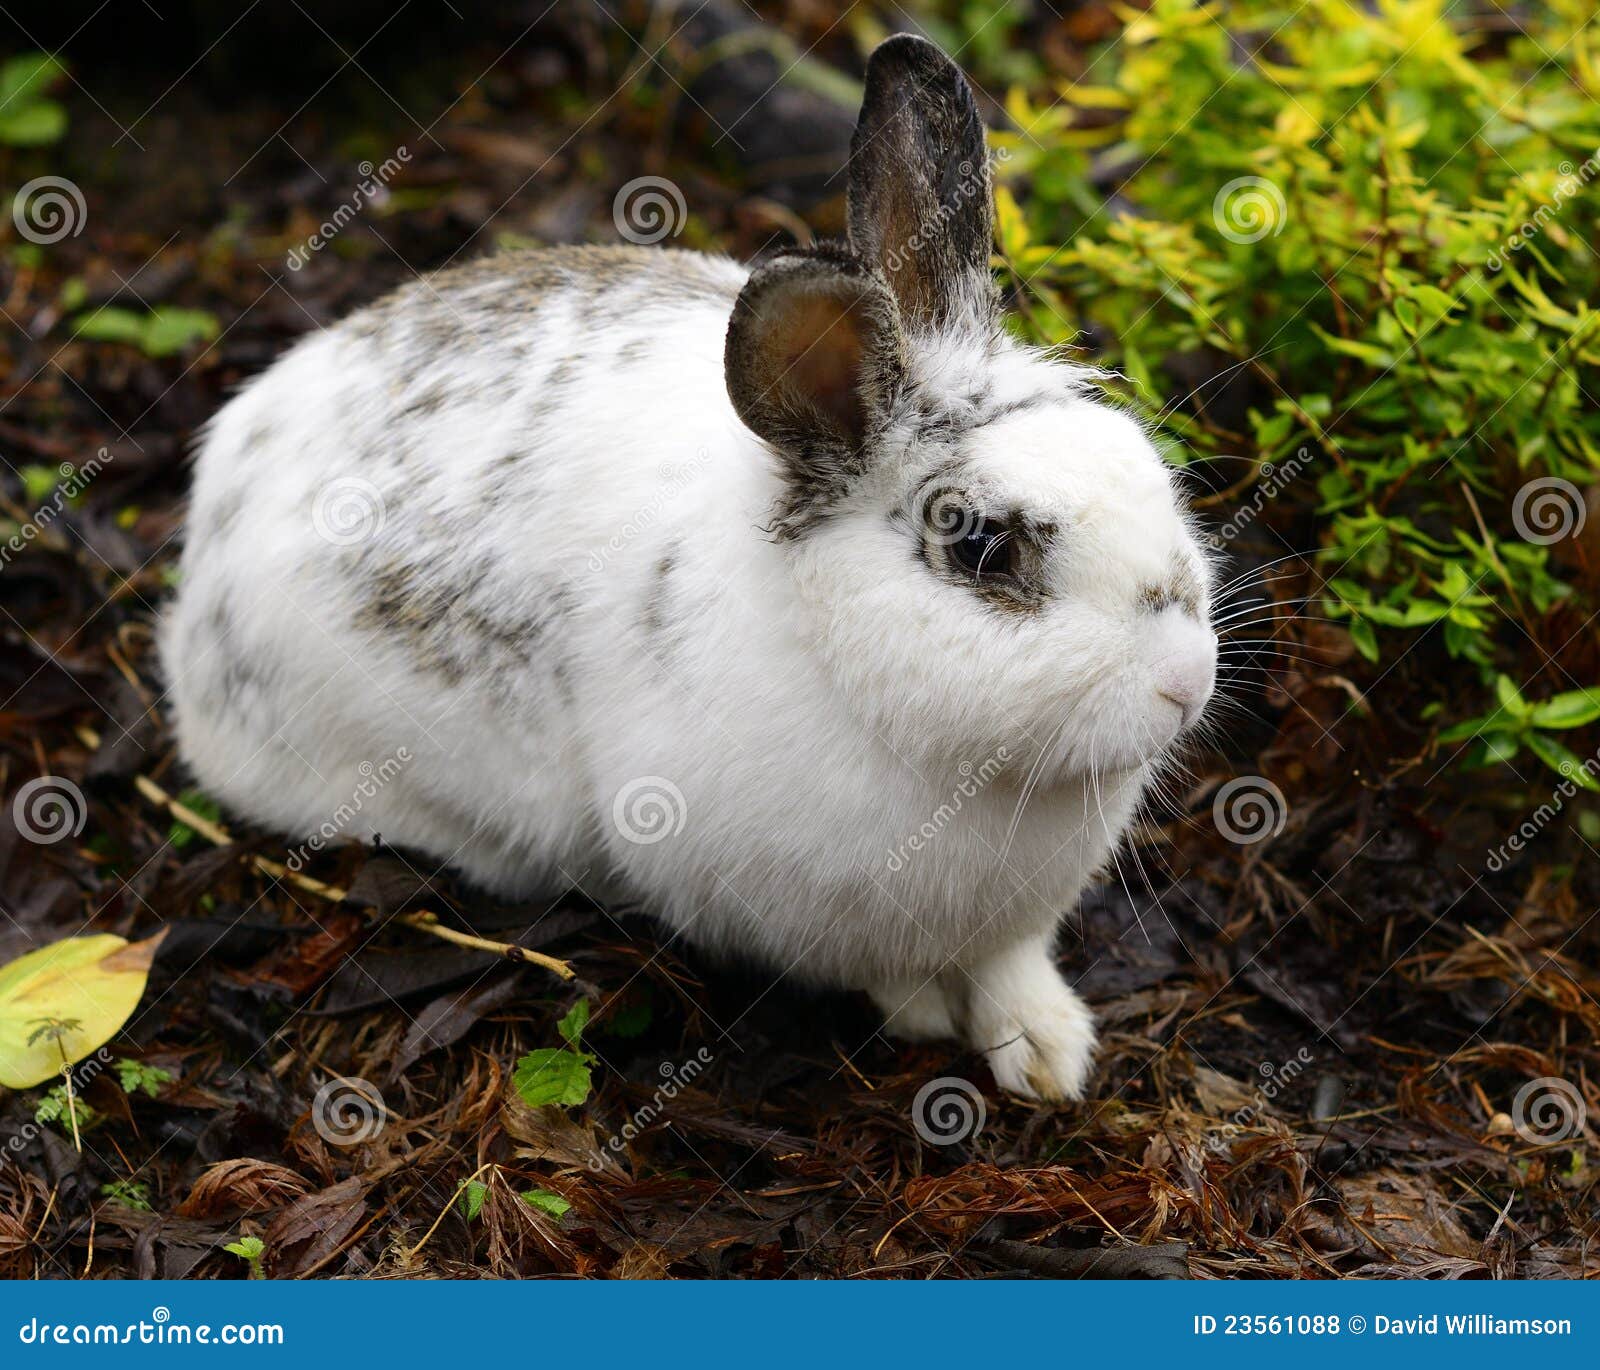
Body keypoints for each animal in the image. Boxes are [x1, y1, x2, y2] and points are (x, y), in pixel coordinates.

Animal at [160, 34, 1218, 1101]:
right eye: (981, 546)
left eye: (1138, 459)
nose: (1187, 682)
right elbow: (898, 978)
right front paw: (929, 1020)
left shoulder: (1011, 926)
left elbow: (1010, 970)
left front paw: (1049, 1056)